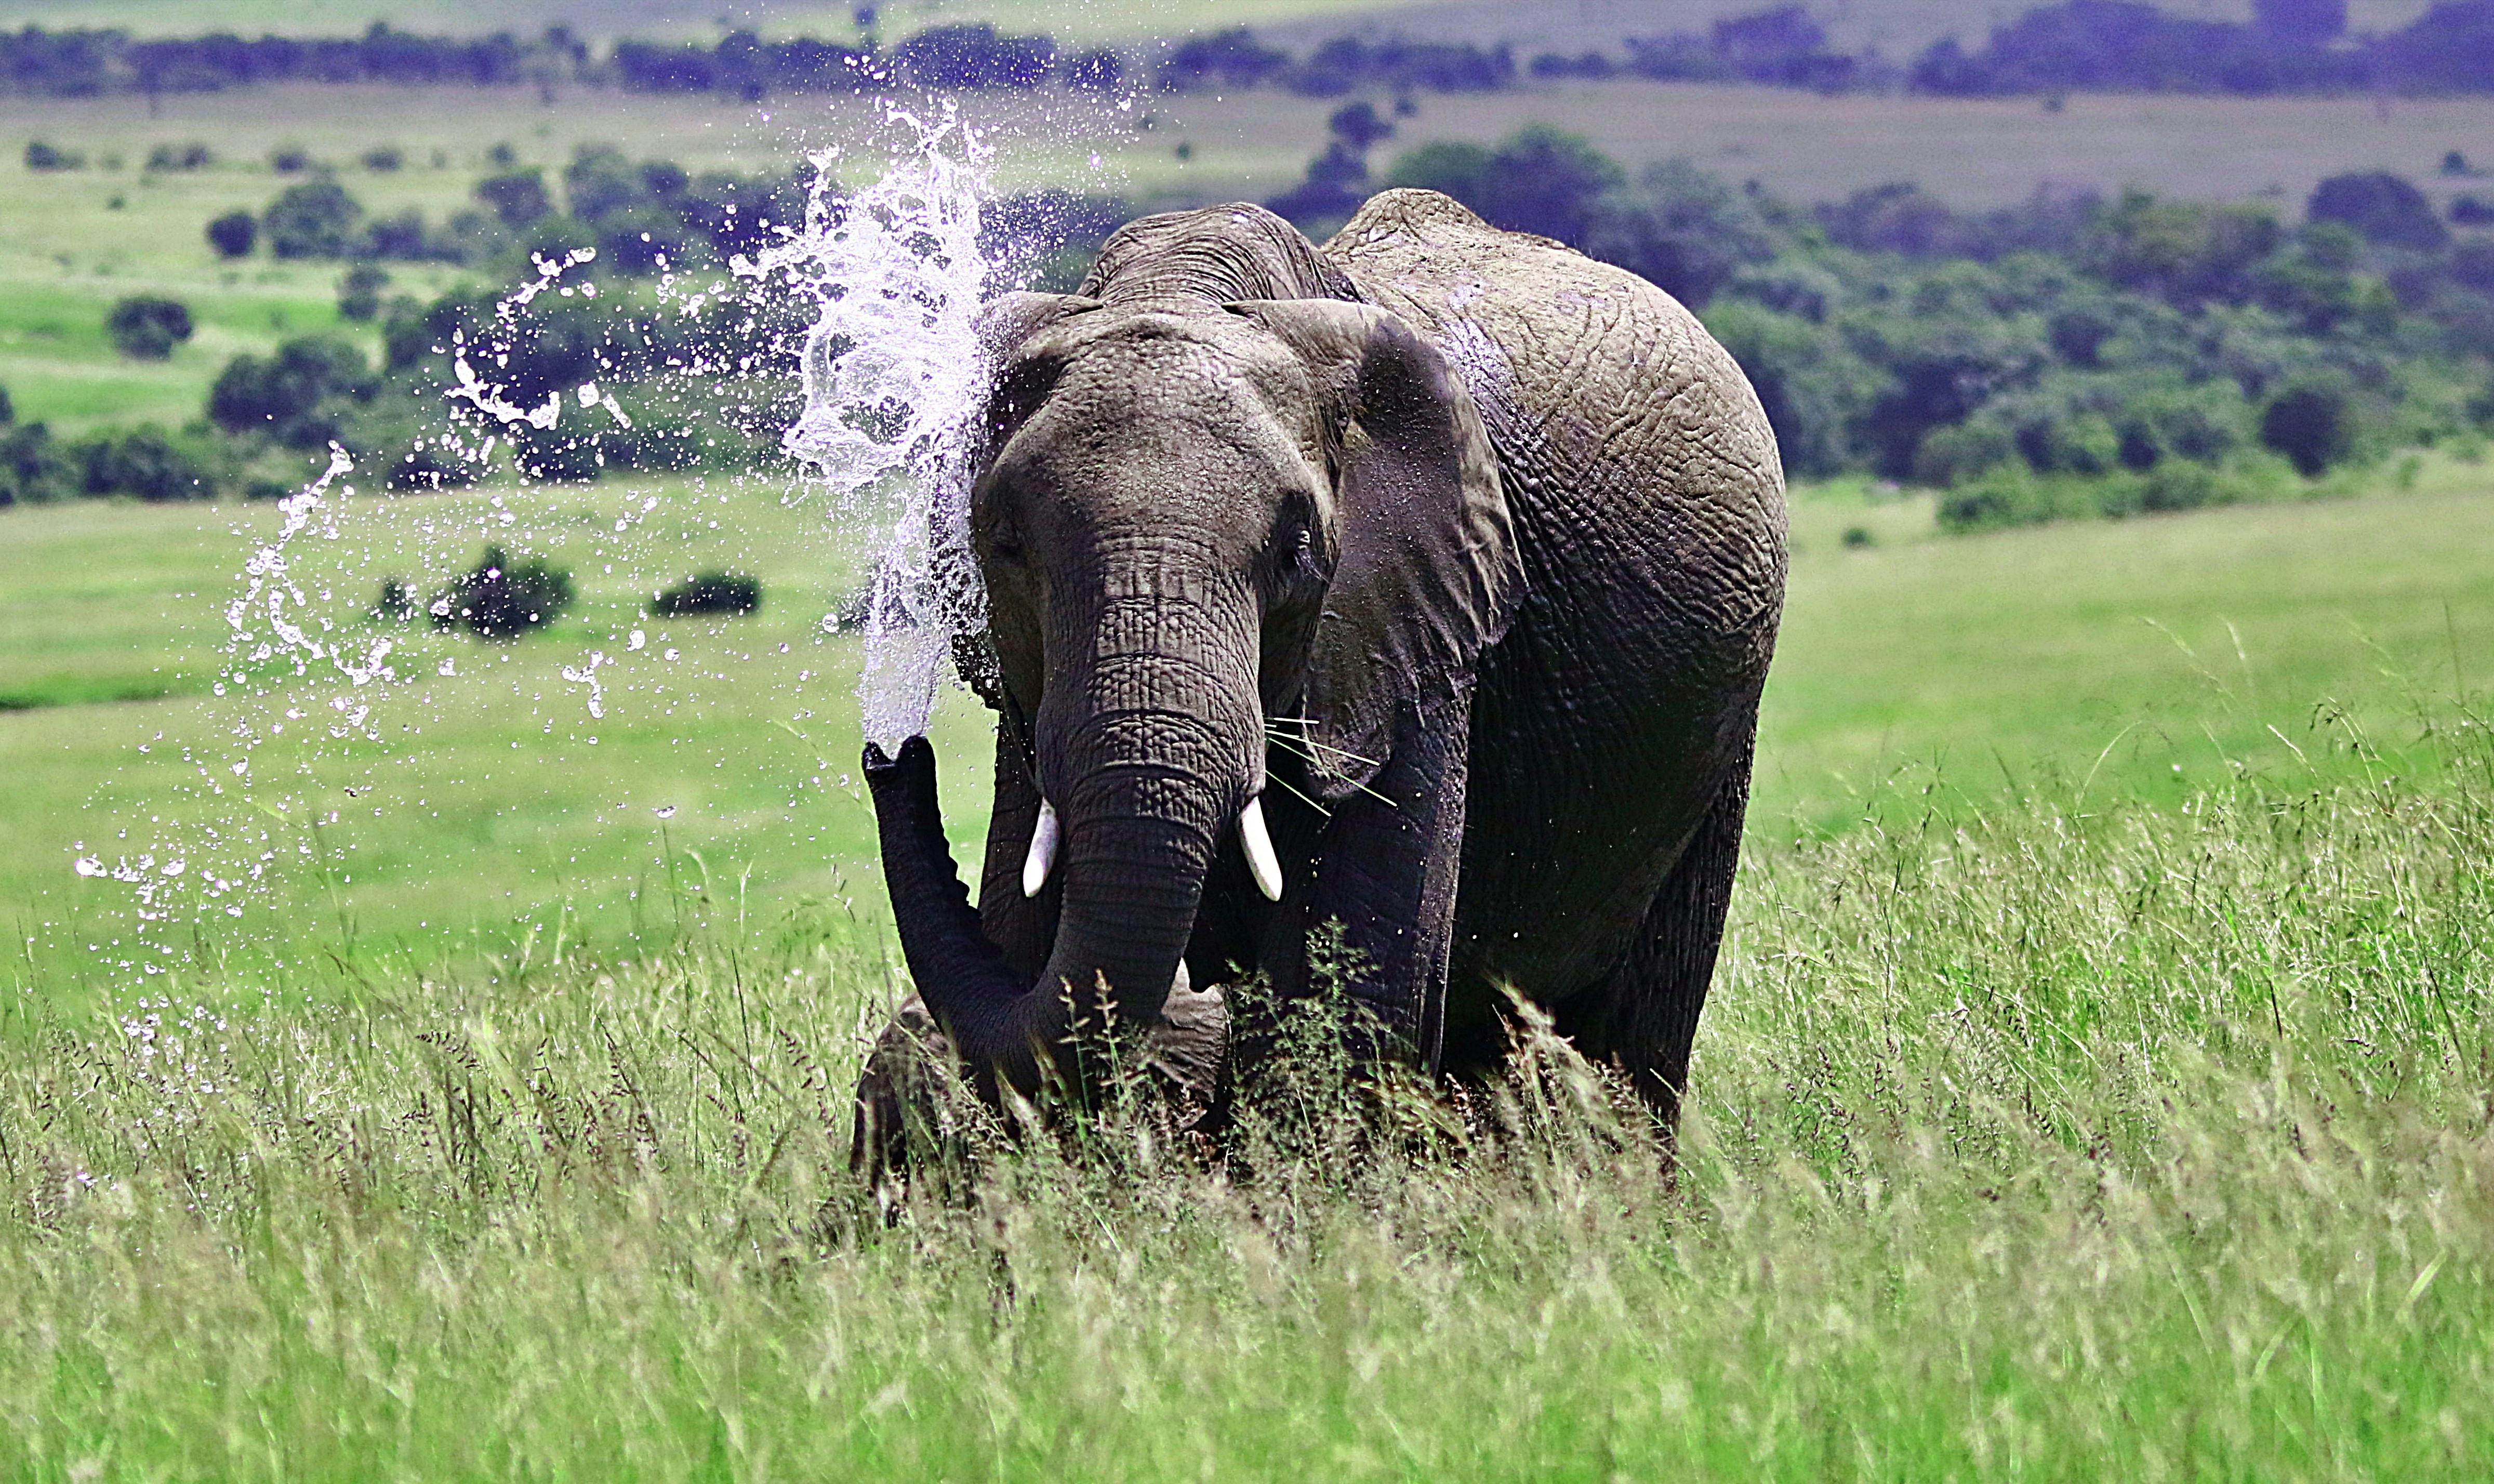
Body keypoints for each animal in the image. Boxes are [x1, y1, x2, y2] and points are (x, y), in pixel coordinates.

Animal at [855, 187, 1785, 1150]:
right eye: (1005, 544)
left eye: (1296, 552)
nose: (893, 751)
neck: (1184, 283)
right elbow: (1028, 953)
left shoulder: (1423, 622)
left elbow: (1345, 998)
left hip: (1718, 733)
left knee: (1632, 1037)